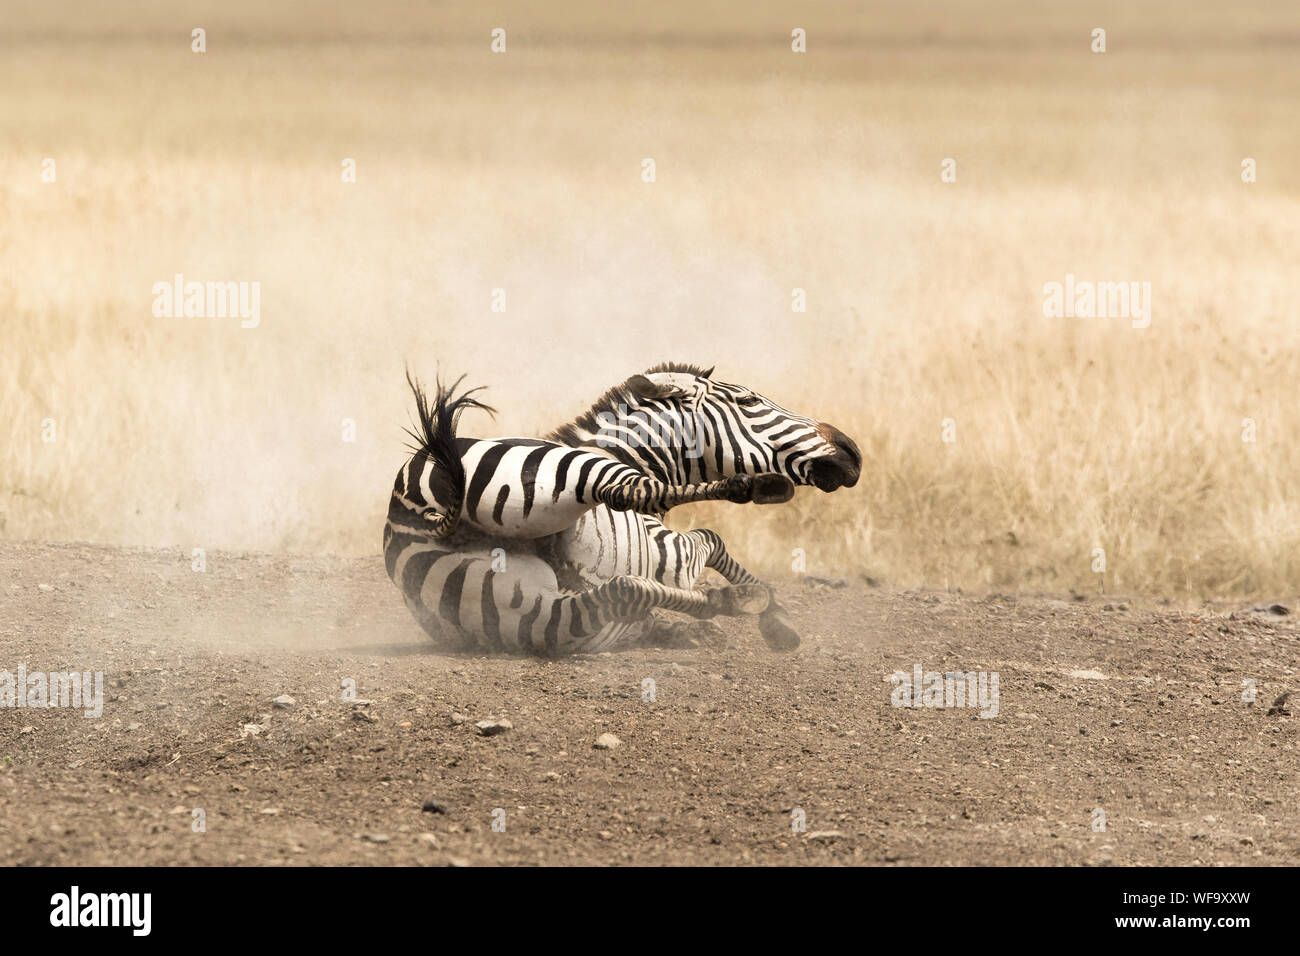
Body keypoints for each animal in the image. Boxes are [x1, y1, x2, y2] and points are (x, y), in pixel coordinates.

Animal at [383, 362, 861, 656]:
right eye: (749, 403)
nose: (852, 452)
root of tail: (410, 518)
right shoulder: (670, 552)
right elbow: (711, 541)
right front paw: (774, 612)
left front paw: (698, 625)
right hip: (574, 475)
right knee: (628, 495)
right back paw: (757, 496)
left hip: (534, 614)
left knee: (620, 590)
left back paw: (727, 599)